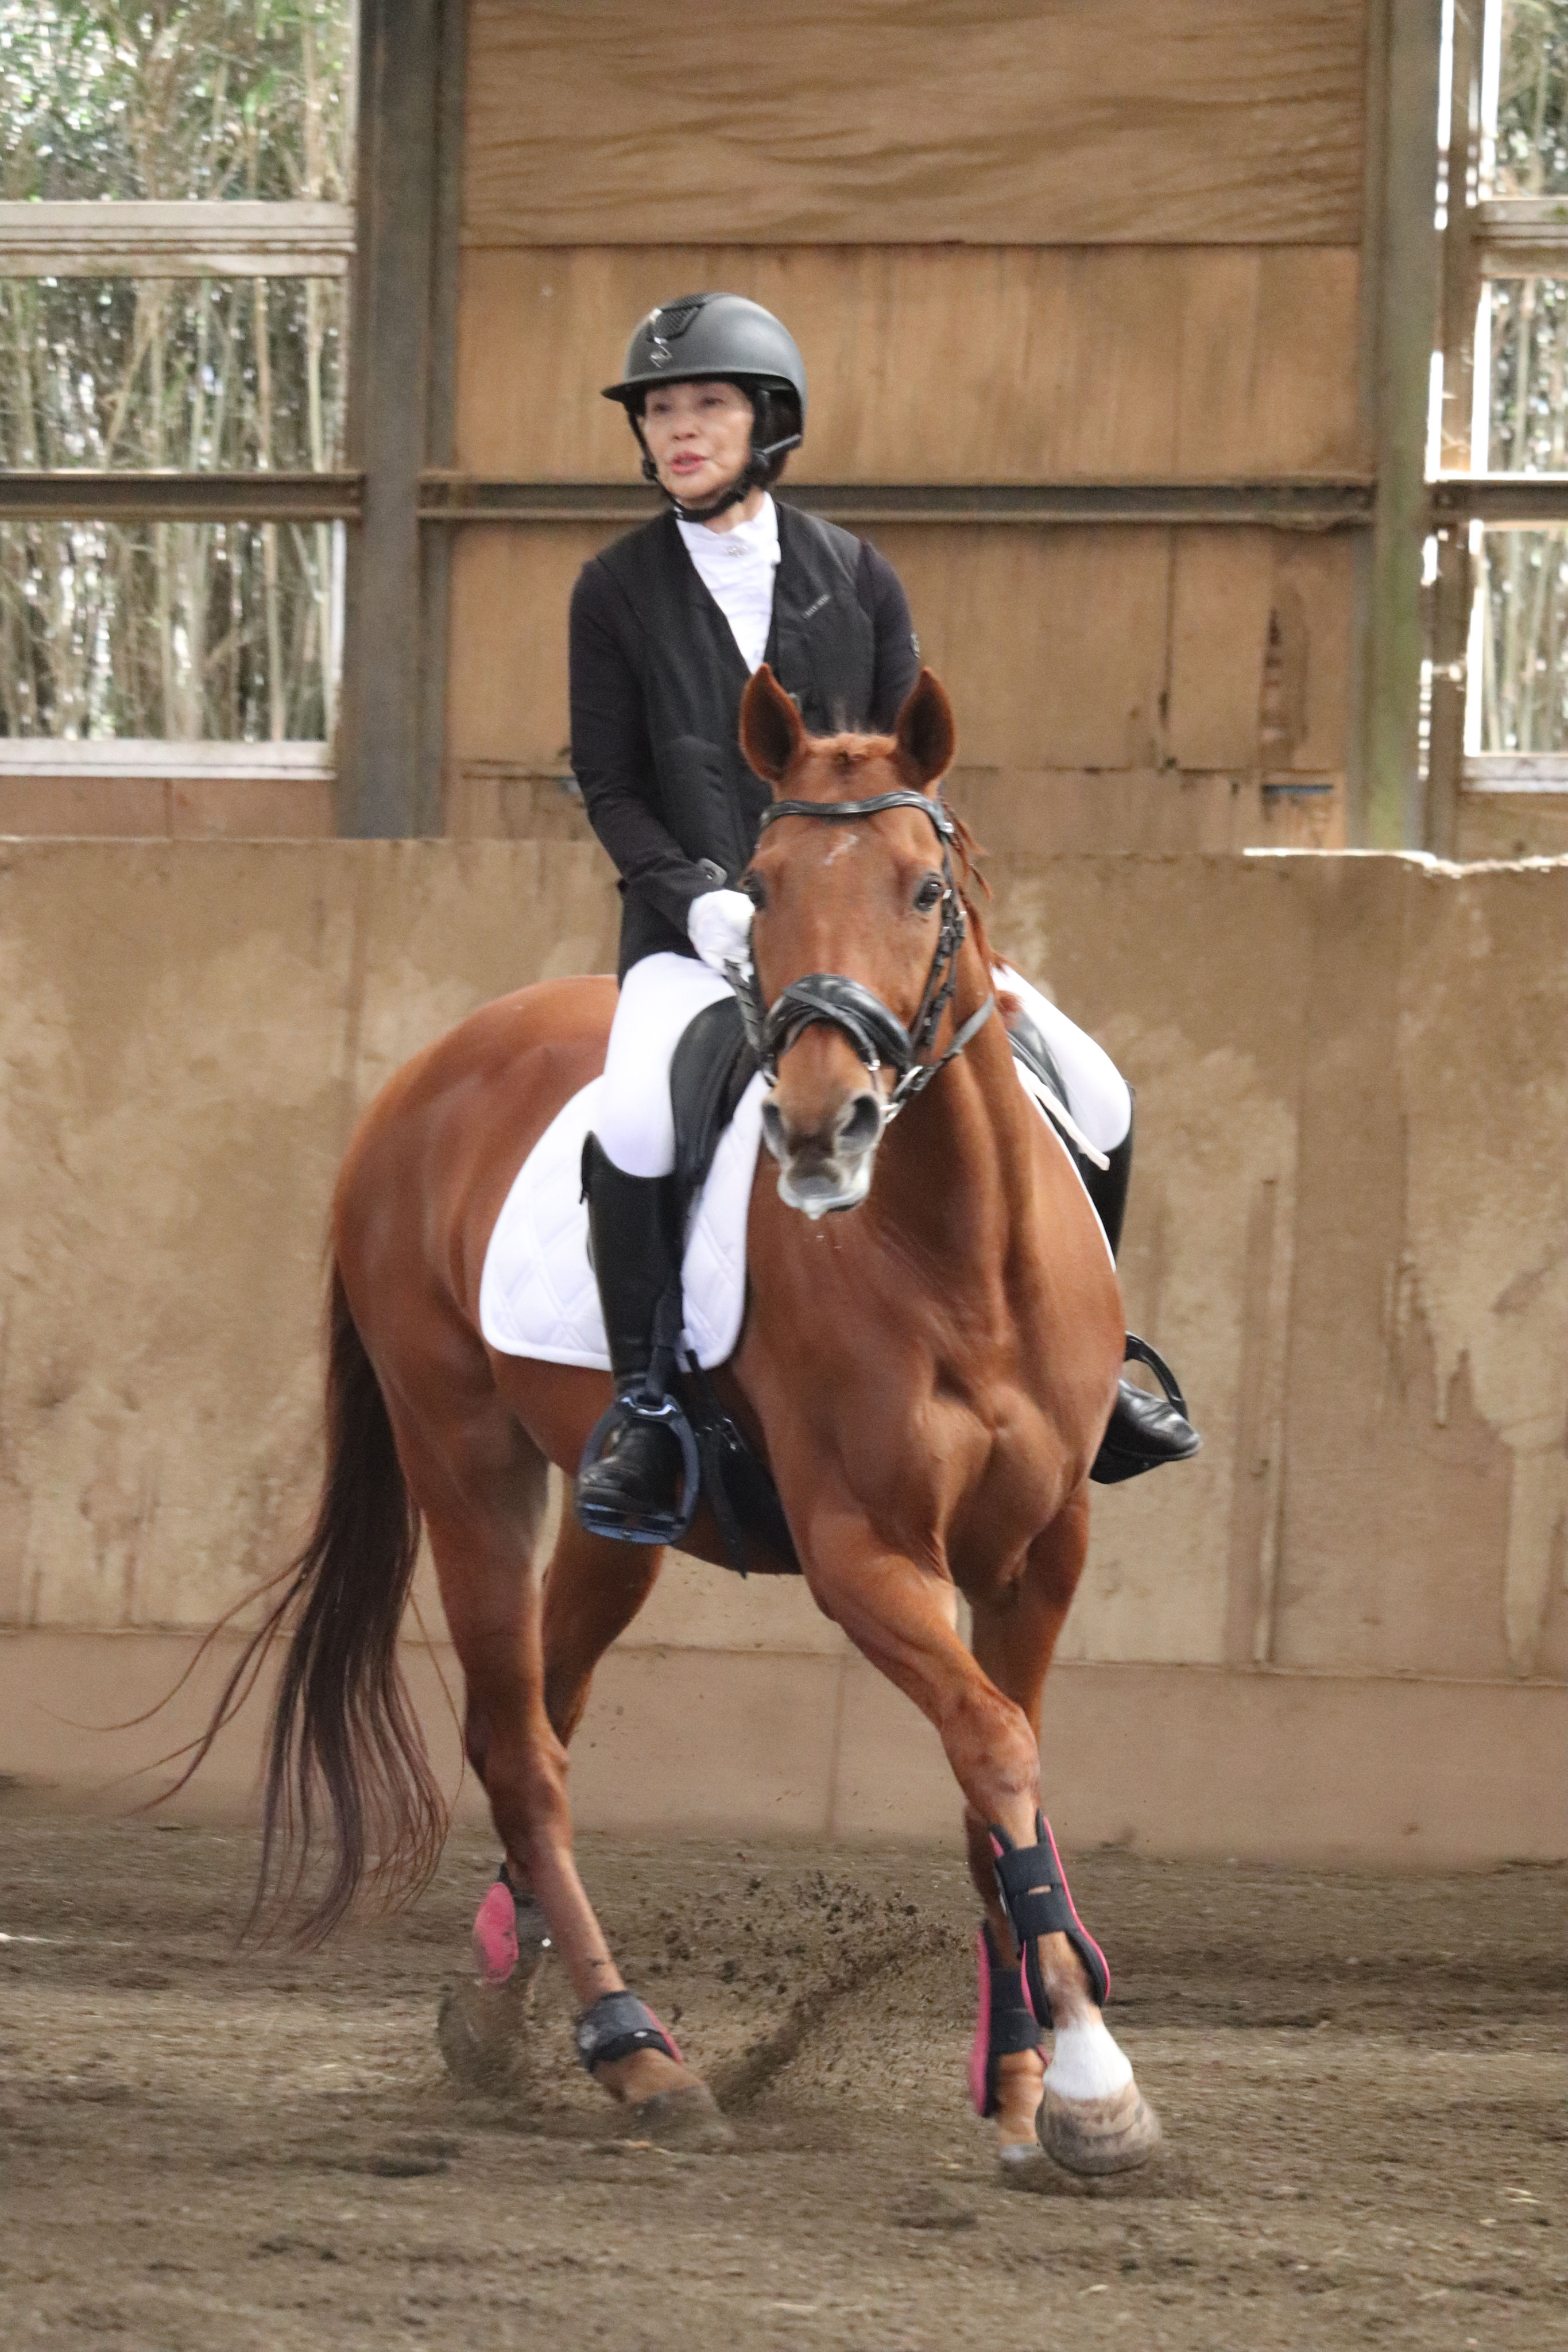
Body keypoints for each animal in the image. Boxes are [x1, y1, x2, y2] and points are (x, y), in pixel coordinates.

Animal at [194, 662, 1161, 2181]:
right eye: (756, 887)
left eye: (924, 888)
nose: (823, 1125)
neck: (958, 1251)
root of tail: (422, 1075)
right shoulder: (864, 1553)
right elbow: (997, 1746)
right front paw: (1088, 2081)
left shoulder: (1039, 1549)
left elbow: (991, 1786)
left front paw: (1016, 2076)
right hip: (465, 1460)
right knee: (523, 1750)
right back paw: (635, 2050)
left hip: (617, 1517)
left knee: (536, 1716)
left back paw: (497, 2009)